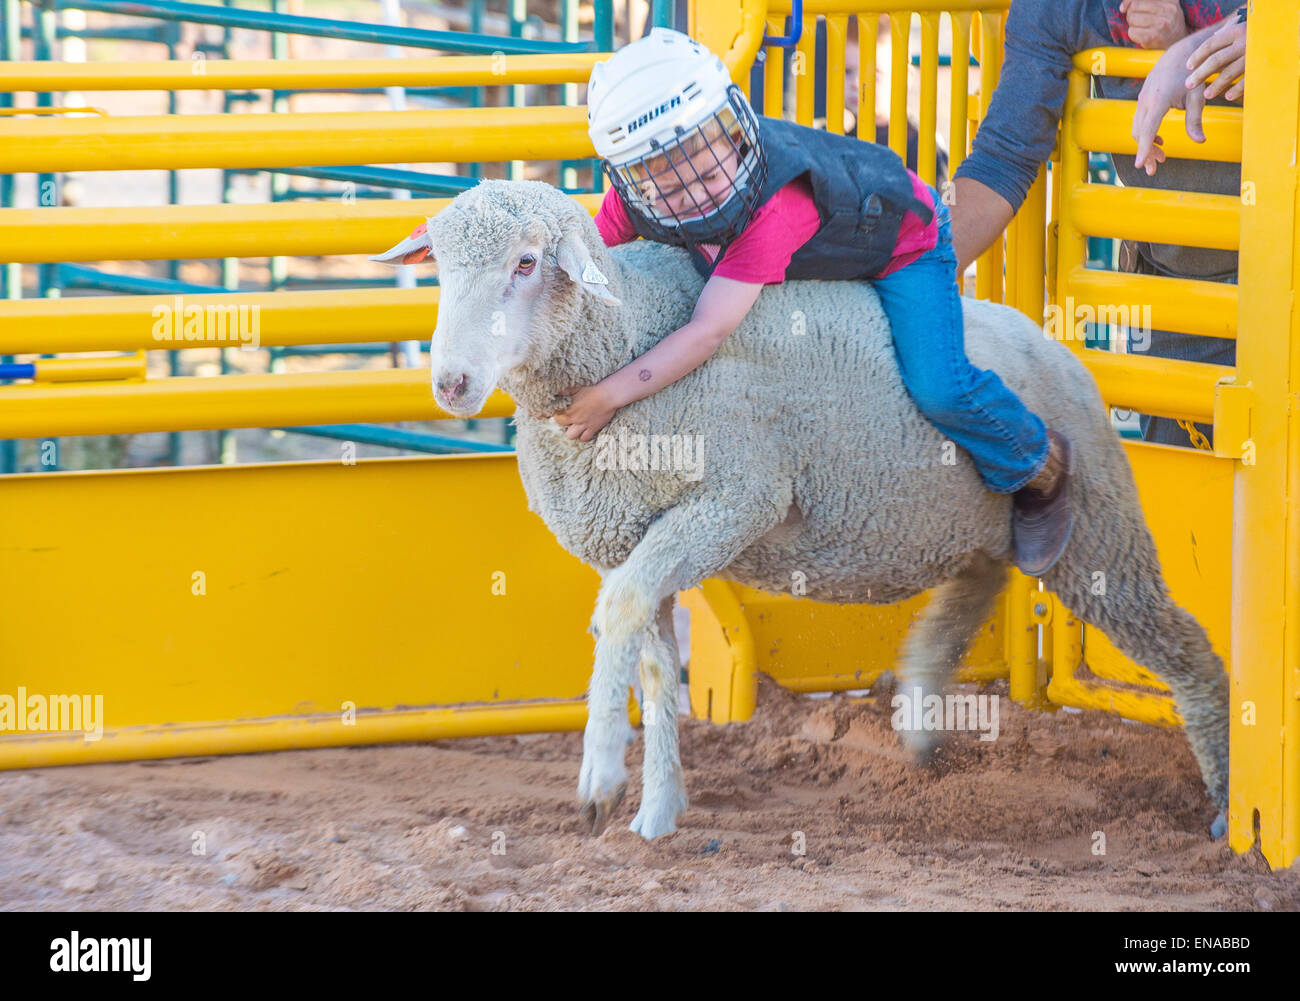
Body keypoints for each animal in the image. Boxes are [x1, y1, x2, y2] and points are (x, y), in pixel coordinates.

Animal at [372, 179, 1230, 841]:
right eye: (440, 266)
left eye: (524, 263)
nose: (450, 382)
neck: (630, 337)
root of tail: (1054, 343)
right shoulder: (634, 534)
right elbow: (652, 662)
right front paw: (656, 812)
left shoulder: (731, 500)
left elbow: (617, 613)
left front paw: (600, 779)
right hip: (972, 526)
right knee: (975, 588)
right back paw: (920, 721)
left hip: (1101, 533)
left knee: (1185, 647)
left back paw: (1226, 804)